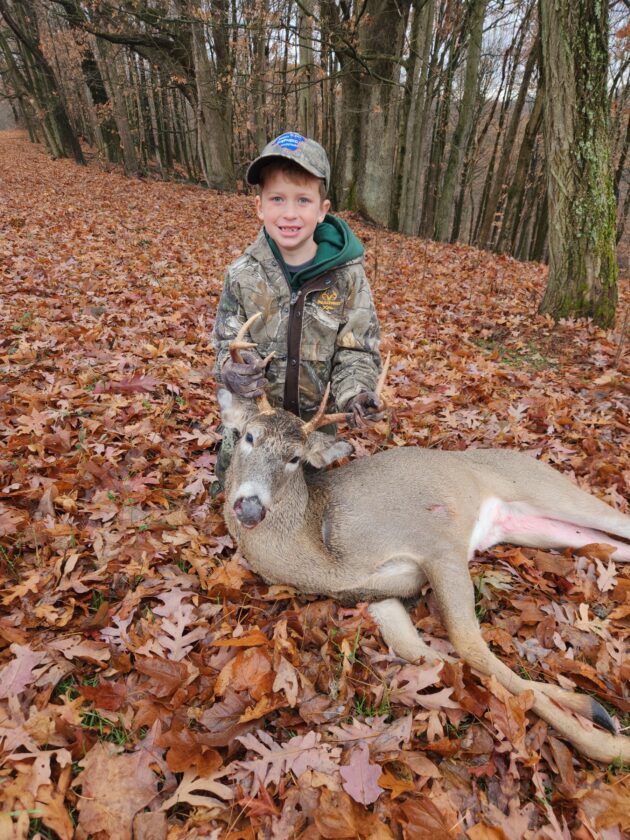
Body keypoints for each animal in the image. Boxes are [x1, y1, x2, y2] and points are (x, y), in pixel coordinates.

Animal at [216, 314, 630, 764]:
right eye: (248, 437)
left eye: (295, 458)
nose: (250, 507)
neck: (326, 550)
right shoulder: (379, 594)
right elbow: (428, 654)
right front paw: (593, 711)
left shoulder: (437, 540)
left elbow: (469, 646)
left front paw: (610, 744)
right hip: (540, 528)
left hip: (549, 491)